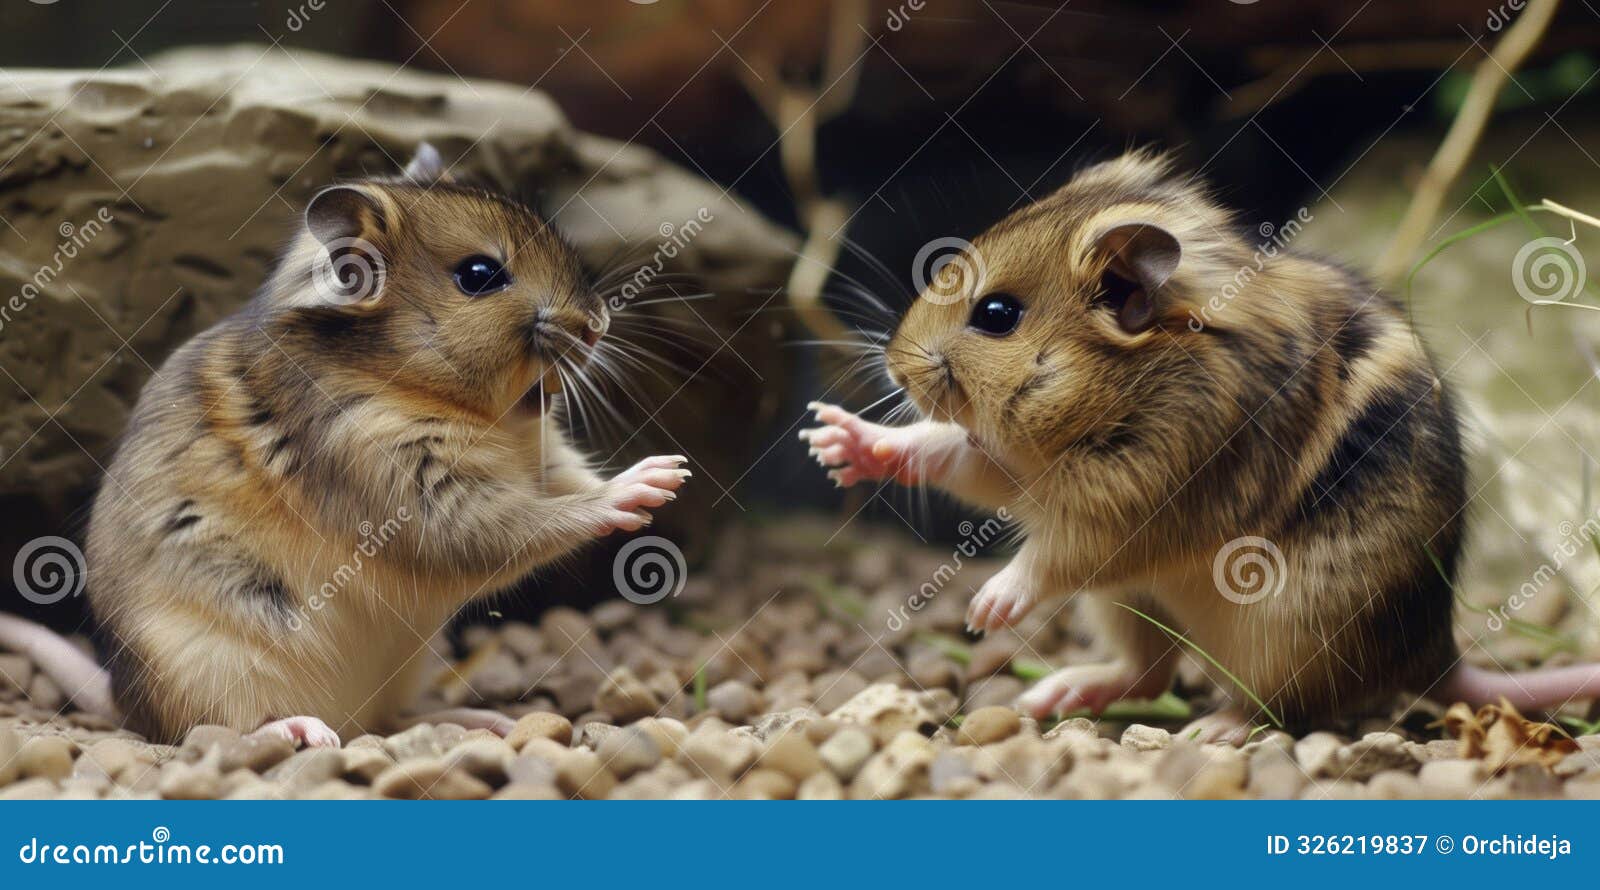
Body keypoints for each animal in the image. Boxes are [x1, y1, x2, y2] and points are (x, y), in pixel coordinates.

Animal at [1, 144, 689, 746]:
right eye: (479, 275)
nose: (599, 323)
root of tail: (123, 700)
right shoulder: (413, 496)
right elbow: (531, 522)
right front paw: (642, 486)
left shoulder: (543, 458)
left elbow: (572, 483)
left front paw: (667, 475)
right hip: (210, 662)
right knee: (214, 727)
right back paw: (298, 729)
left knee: (392, 722)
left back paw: (477, 719)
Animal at [804, 151, 1600, 741]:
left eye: (997, 314)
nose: (892, 366)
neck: (1134, 376)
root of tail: (1434, 654)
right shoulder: (1014, 463)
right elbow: (949, 453)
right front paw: (842, 441)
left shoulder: (1133, 502)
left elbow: (1052, 556)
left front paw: (988, 605)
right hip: (1128, 605)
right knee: (1150, 672)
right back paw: (1061, 692)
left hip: (1281, 629)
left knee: (1281, 706)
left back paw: (1216, 726)